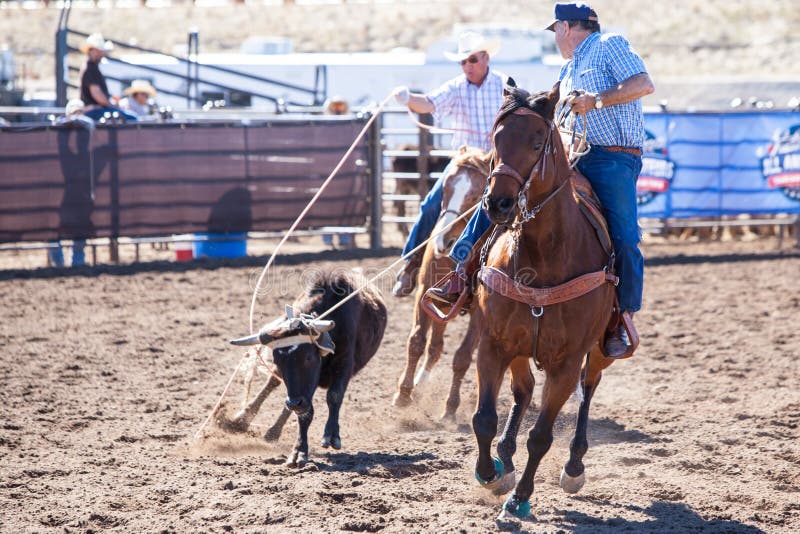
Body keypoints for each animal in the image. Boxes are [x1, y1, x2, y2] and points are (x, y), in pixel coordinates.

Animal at [224, 268, 387, 467]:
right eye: (277, 360)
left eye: (308, 357)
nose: (295, 402)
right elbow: (304, 413)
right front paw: (299, 451)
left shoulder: (344, 363)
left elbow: (334, 396)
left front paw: (331, 435)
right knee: (273, 386)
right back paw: (244, 421)